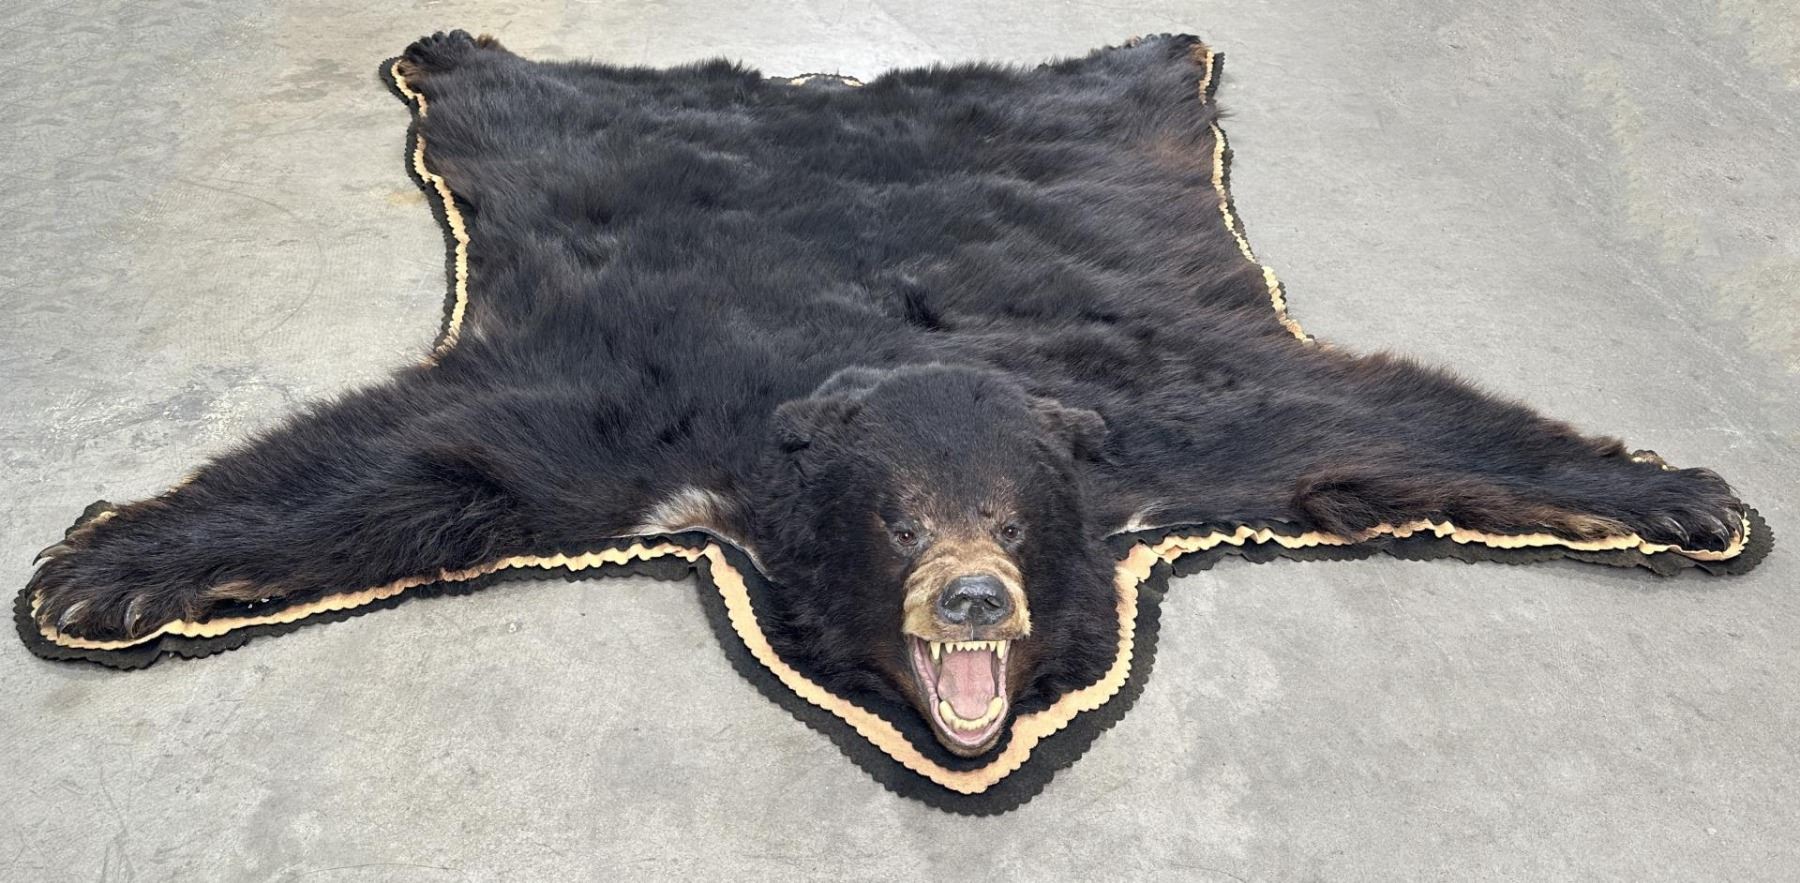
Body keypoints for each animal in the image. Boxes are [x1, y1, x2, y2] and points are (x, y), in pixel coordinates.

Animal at [24, 31, 1755, 760]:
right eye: (898, 515)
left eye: (1016, 514)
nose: (974, 598)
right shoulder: (651, 411)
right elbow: (444, 456)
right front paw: (106, 569)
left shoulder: (1178, 416)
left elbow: (1378, 422)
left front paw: (1685, 493)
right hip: (546, 132)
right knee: (505, 89)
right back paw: (449, 48)